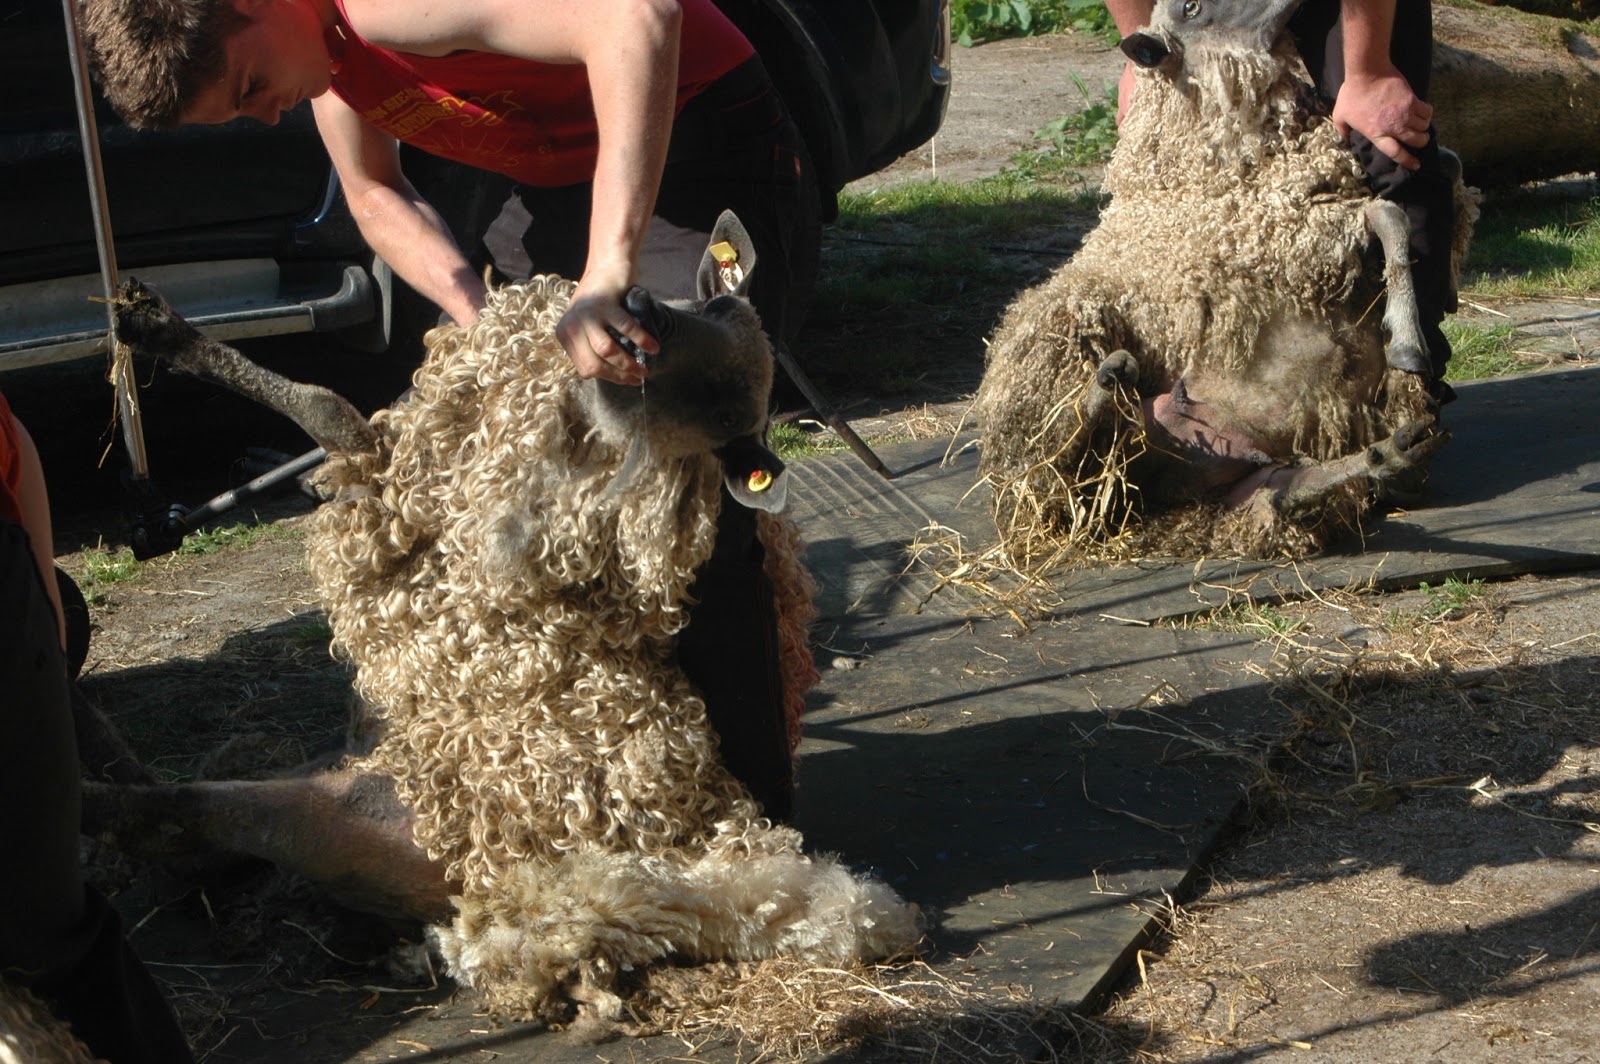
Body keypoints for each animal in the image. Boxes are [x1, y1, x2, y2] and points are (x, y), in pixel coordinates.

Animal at [973, 0, 1474, 563]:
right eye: (1192, 7)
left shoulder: (1312, 224)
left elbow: (1439, 179)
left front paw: (1438, 300)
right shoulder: (1293, 237)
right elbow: (1393, 215)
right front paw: (1407, 342)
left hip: (1242, 485)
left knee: (1278, 497)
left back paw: (1391, 454)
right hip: (1058, 345)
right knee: (1059, 472)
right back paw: (1106, 385)